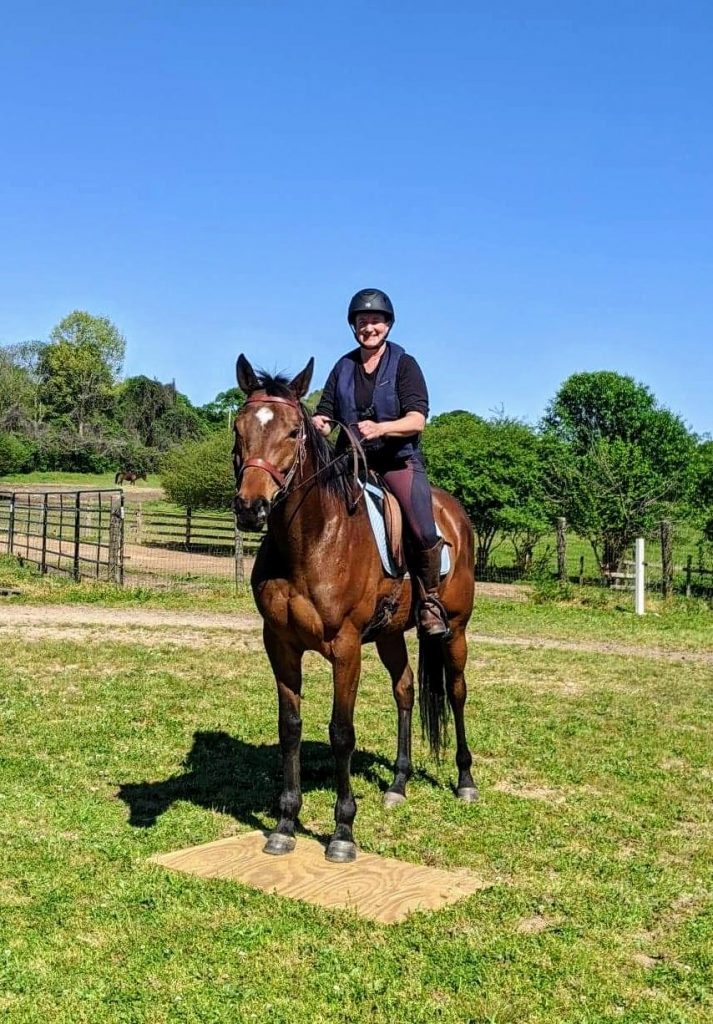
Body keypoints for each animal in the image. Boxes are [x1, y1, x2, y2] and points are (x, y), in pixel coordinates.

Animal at [233, 353, 477, 863]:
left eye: (293, 432)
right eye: (238, 427)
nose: (250, 507)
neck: (309, 543)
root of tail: (454, 514)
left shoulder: (345, 649)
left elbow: (341, 732)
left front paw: (343, 832)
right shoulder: (280, 645)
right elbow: (290, 727)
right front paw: (285, 823)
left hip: (456, 629)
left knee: (457, 692)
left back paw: (465, 780)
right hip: (390, 635)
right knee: (405, 690)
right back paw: (398, 784)